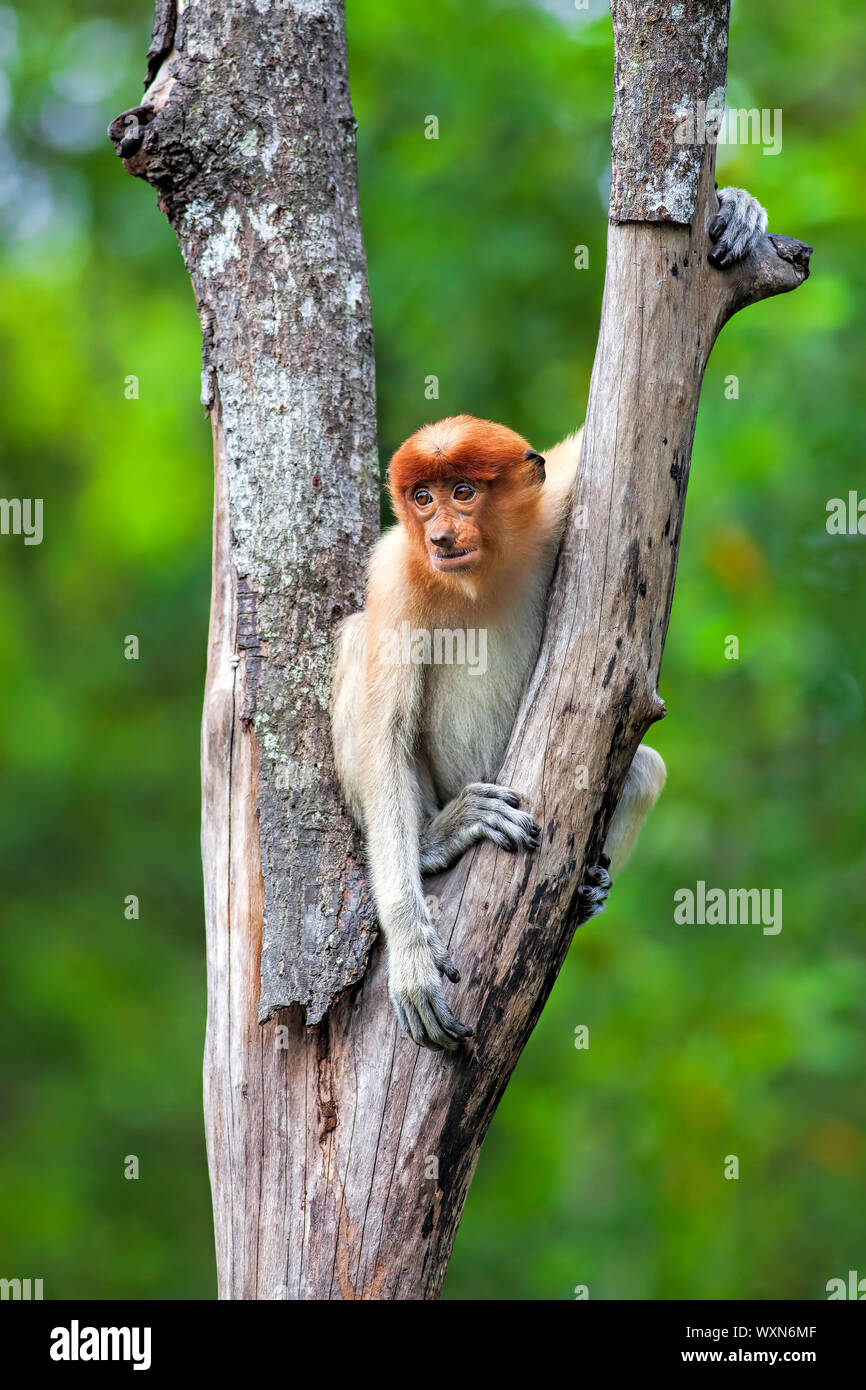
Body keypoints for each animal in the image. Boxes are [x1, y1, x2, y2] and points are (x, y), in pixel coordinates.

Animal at [330, 186, 767, 1052]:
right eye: (421, 497)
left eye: (465, 490)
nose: (443, 536)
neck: (481, 577)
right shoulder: (394, 574)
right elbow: (384, 732)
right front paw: (413, 959)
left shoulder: (562, 498)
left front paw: (737, 215)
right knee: (357, 647)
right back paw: (443, 837)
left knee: (645, 765)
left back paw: (592, 880)